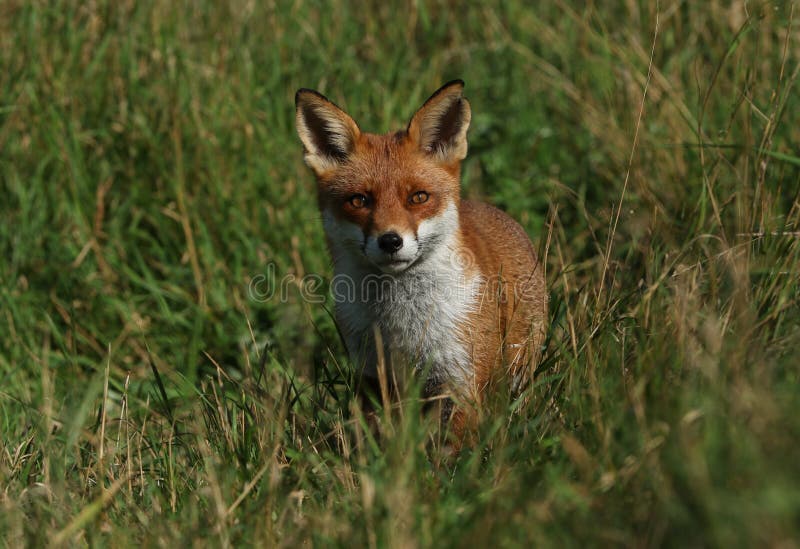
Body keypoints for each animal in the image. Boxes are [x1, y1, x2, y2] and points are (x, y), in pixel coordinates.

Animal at [294, 80, 547, 440]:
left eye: (418, 197)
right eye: (359, 200)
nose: (390, 241)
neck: (401, 322)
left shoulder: (460, 377)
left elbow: (452, 449)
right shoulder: (373, 377)